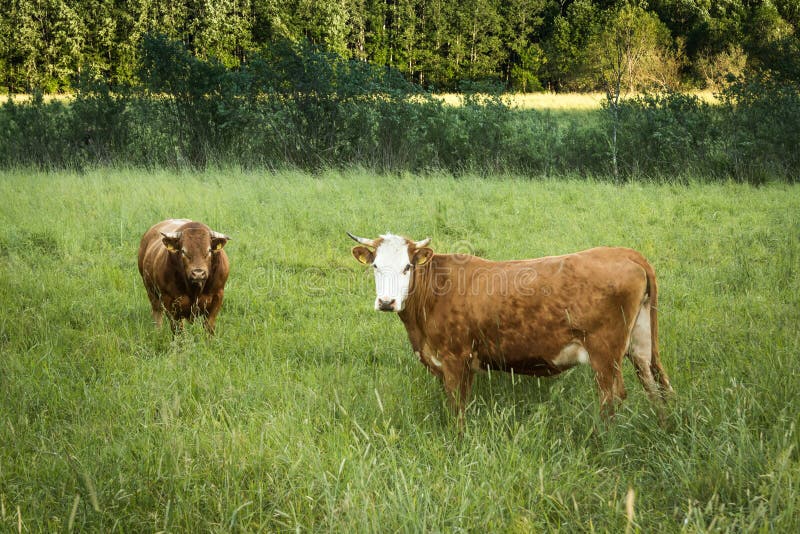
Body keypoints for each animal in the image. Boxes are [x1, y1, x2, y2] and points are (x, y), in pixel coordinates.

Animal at [348, 232, 673, 423]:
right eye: (375, 266)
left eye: (407, 267)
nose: (386, 301)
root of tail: (625, 252)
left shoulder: (454, 358)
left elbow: (457, 408)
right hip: (641, 345)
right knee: (656, 385)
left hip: (605, 352)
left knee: (613, 396)